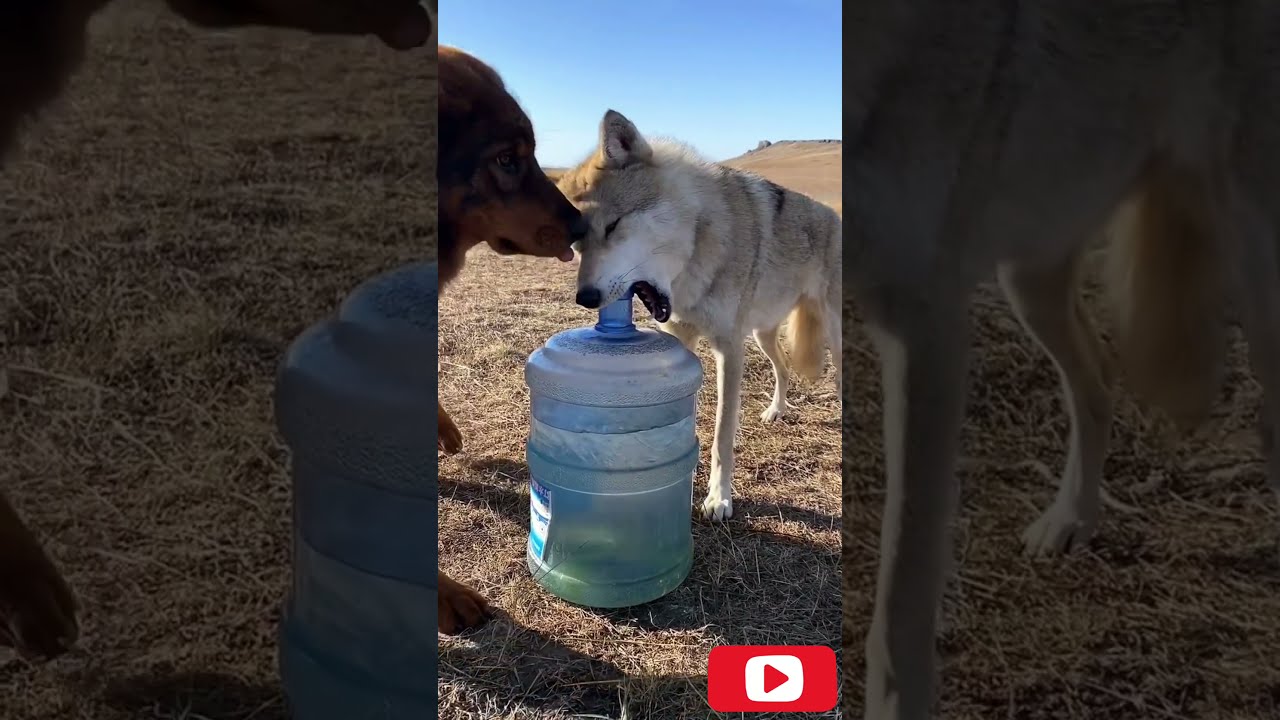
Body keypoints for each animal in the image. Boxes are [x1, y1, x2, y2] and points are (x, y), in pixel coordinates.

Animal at [556, 110, 842, 521]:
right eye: (577, 244)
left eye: (611, 226)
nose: (586, 298)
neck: (701, 243)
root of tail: (832, 214)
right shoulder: (684, 340)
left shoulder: (730, 350)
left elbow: (722, 436)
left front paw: (718, 498)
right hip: (763, 335)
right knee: (784, 368)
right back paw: (775, 411)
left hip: (831, 335)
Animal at [846, 2, 1280, 718]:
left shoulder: (924, 322)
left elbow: (900, 610)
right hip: (1031, 273)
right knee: (1099, 378)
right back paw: (1073, 519)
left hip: (1257, 281)